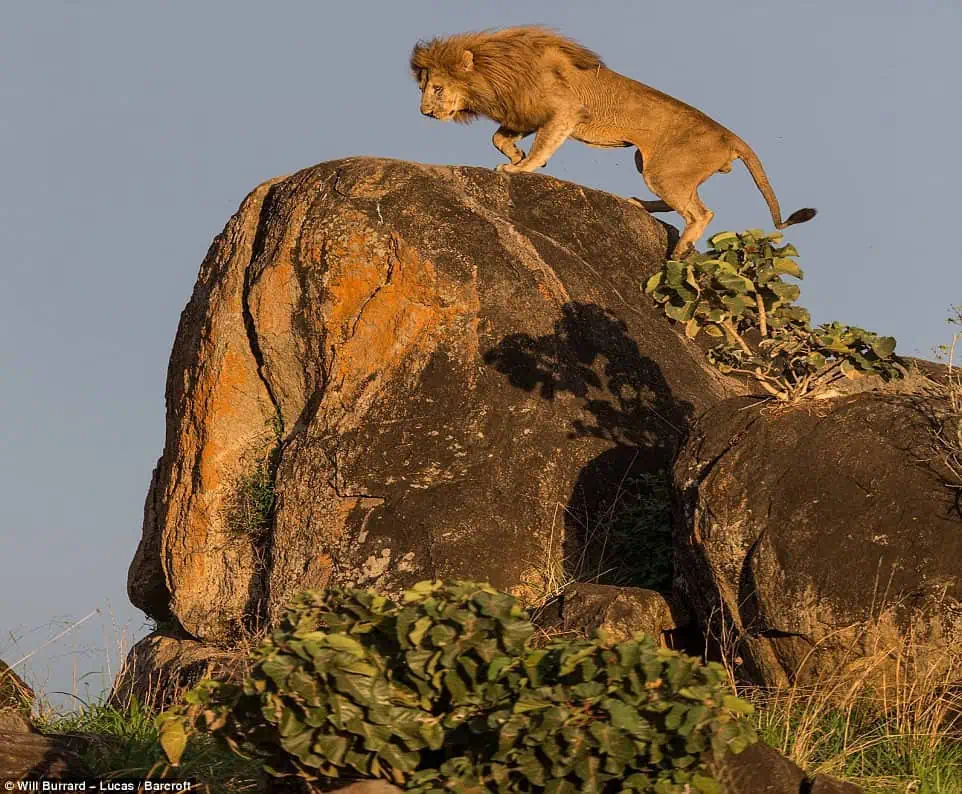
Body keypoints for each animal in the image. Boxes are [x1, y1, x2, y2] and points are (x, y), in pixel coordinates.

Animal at [411, 26, 816, 258]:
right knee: (684, 202)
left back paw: (679, 250)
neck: (498, 71)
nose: (424, 113)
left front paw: (522, 167)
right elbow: (499, 137)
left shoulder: (564, 111)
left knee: (701, 213)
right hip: (649, 164)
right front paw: (516, 155)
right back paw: (637, 205)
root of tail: (731, 135)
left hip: (662, 169)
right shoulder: (524, 113)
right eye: (424, 88)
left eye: (437, 88)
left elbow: (542, 143)